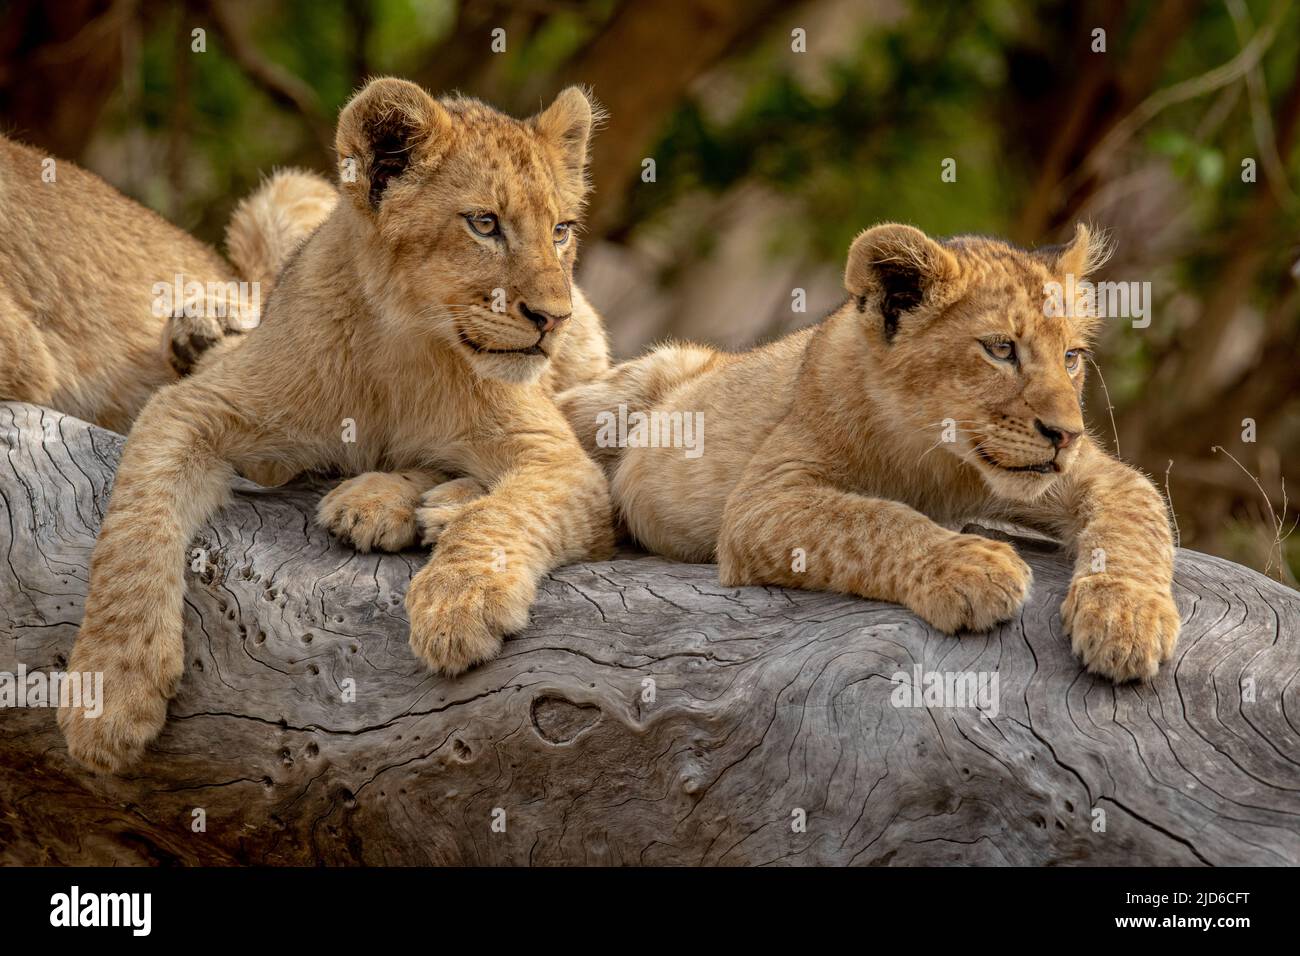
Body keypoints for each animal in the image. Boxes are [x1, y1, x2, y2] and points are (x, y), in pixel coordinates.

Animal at [59, 78, 615, 772]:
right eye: (485, 224)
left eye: (562, 230)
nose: (552, 317)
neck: (398, 346)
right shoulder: (195, 407)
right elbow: (132, 532)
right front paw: (111, 692)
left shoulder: (562, 461)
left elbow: (507, 511)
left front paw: (459, 602)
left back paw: (410, 504)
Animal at [557, 223, 1181, 683]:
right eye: (1002, 349)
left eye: (1071, 357)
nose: (1066, 434)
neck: (940, 456)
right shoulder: (763, 502)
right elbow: (874, 519)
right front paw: (972, 567)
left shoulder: (1095, 475)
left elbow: (1136, 514)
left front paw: (1127, 618)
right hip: (624, 392)